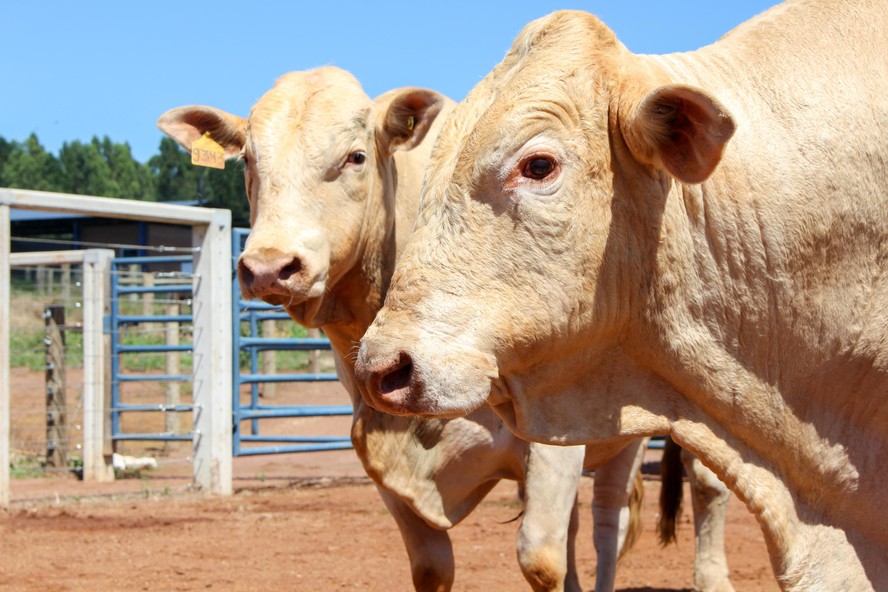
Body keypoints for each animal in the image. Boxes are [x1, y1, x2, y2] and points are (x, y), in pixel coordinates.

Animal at [159, 67, 661, 592]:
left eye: (355, 157)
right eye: (248, 161)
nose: (269, 267)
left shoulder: (555, 446)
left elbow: (541, 559)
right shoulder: (385, 459)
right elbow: (432, 567)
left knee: (609, 524)